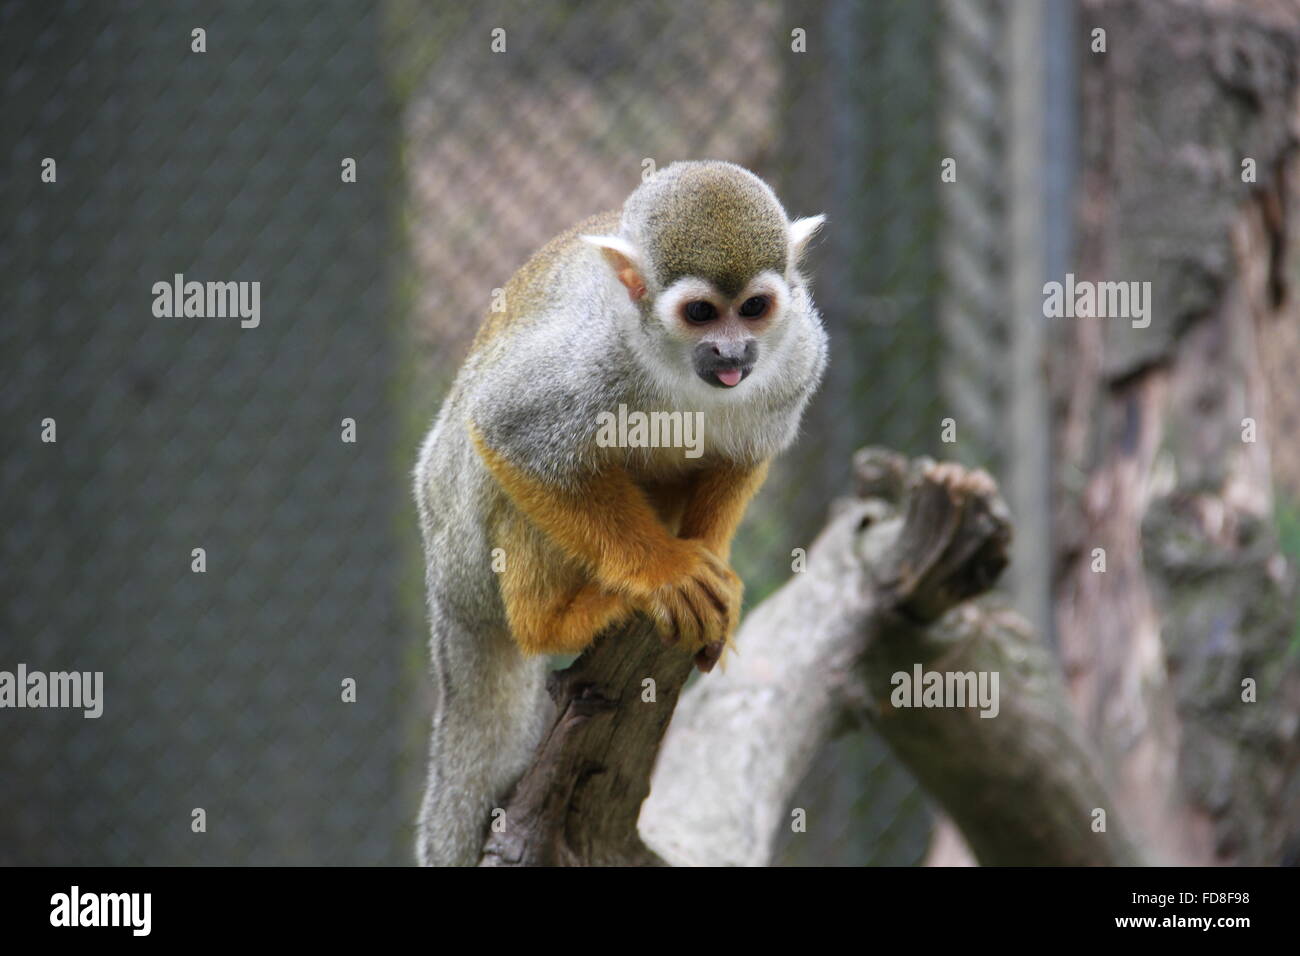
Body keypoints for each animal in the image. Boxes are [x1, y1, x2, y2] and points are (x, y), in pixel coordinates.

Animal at [413, 160, 828, 866]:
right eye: (700, 313)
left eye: (754, 308)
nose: (732, 353)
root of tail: (447, 598)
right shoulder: (592, 357)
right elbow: (509, 429)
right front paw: (665, 573)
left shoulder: (796, 350)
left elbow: (744, 450)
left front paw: (713, 568)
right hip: (461, 546)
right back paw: (554, 621)